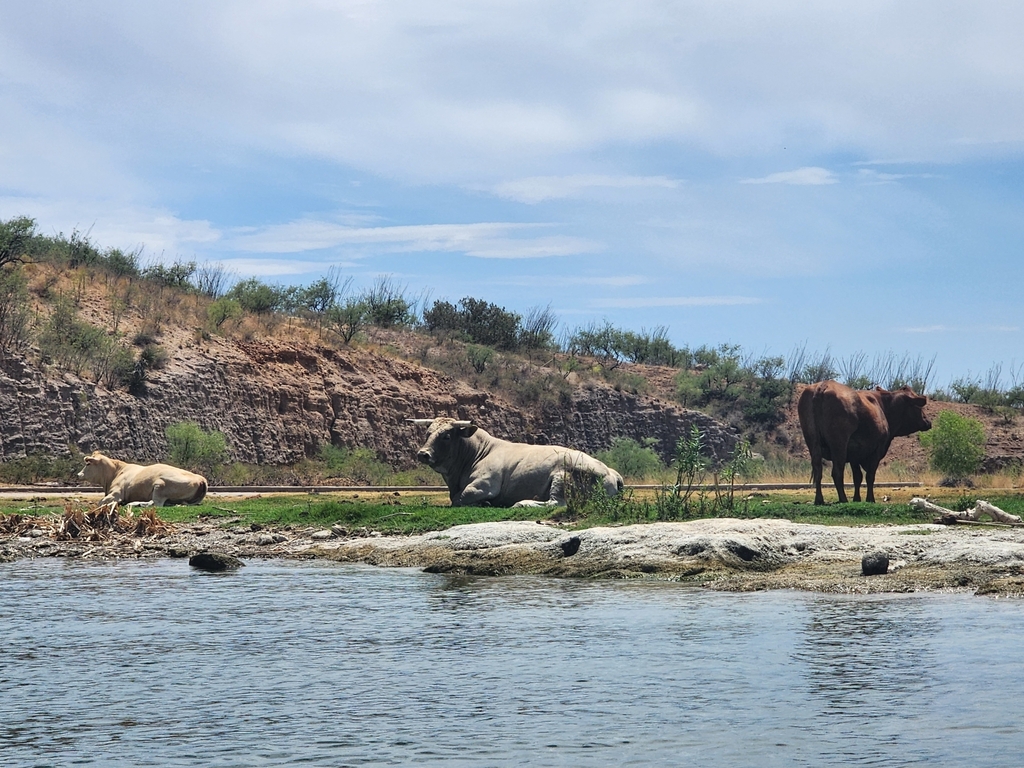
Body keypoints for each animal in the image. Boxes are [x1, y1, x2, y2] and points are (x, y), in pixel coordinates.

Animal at [78, 451, 208, 508]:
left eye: (88, 464)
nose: (79, 474)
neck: (116, 472)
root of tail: (200, 478)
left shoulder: (117, 493)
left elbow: (101, 502)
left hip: (160, 485)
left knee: (155, 503)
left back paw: (134, 503)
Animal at [410, 417, 624, 508]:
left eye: (446, 436)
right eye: (428, 433)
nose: (423, 454)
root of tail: (610, 472)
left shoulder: (484, 485)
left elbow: (458, 499)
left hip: (562, 476)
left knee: (557, 503)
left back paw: (523, 503)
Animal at [798, 380, 931, 505]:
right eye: (918, 406)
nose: (928, 421)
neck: (883, 406)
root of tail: (823, 384)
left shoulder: (855, 454)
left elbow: (857, 477)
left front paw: (857, 499)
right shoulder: (877, 450)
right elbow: (870, 476)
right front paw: (870, 499)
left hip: (812, 441)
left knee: (818, 470)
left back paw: (819, 500)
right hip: (839, 444)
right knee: (837, 471)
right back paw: (843, 499)